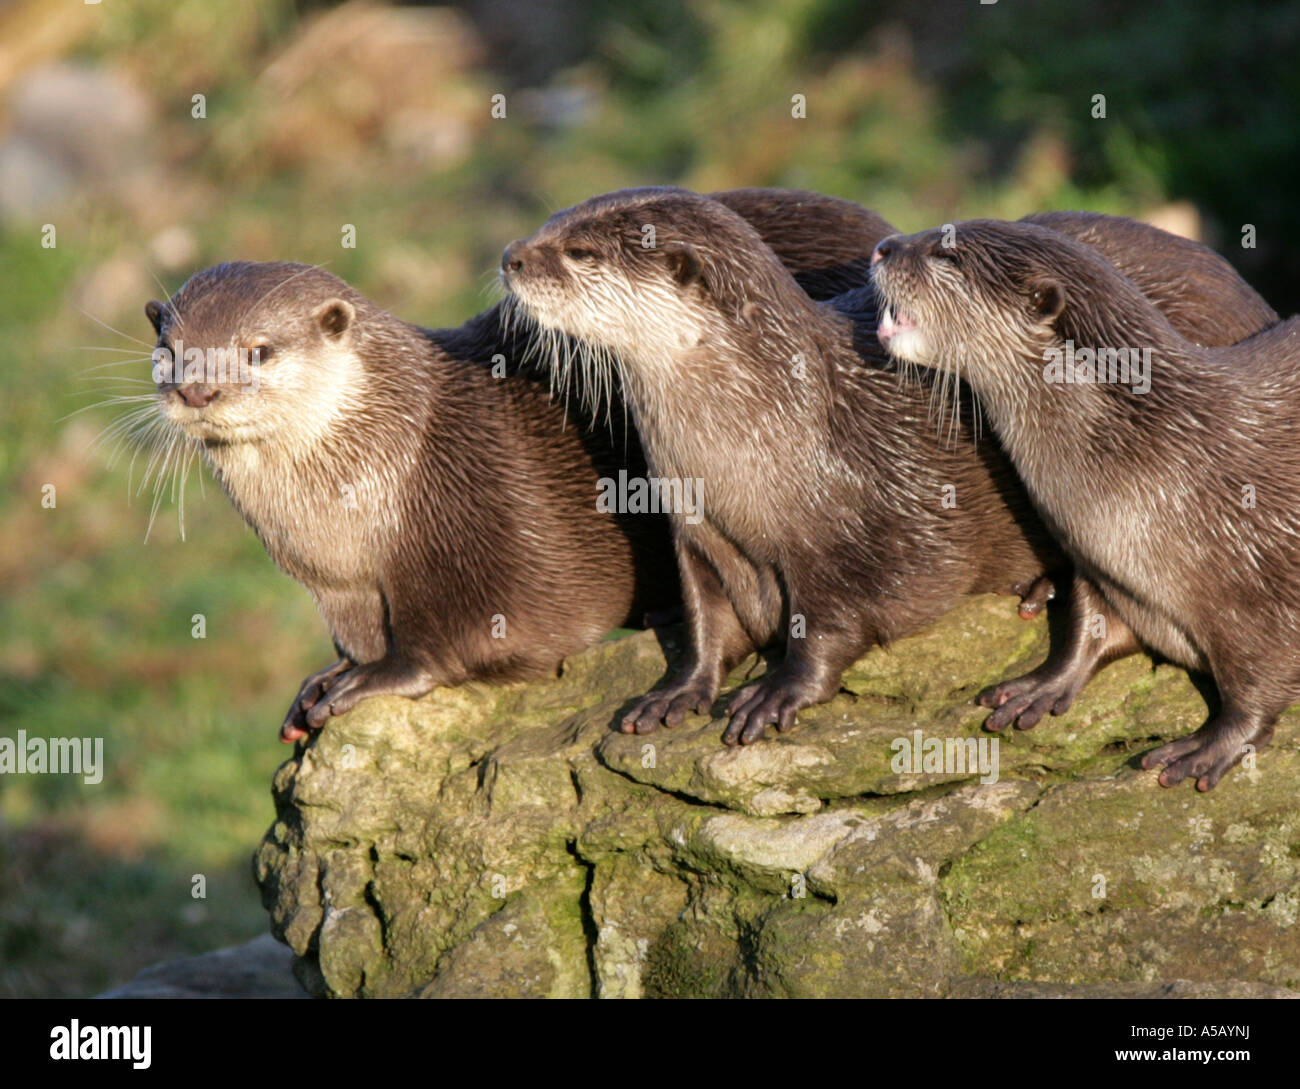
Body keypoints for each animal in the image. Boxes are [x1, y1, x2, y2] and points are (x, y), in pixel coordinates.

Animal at [145, 189, 902, 742]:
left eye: (258, 350)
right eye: (170, 350)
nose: (196, 390)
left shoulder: (477, 539)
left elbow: (449, 641)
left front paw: (367, 679)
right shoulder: (338, 589)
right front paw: (323, 676)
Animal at [502, 187, 1063, 745]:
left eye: (579, 252)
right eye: (551, 221)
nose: (511, 255)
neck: (789, 424)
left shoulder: (857, 545)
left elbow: (837, 621)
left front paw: (778, 692)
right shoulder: (698, 539)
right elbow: (706, 621)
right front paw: (679, 689)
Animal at [871, 218, 1300, 789]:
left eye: (949, 255)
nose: (883, 247)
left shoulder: (1263, 584)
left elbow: (1261, 680)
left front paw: (1212, 745)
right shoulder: (1100, 566)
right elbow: (1090, 621)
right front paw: (1045, 683)